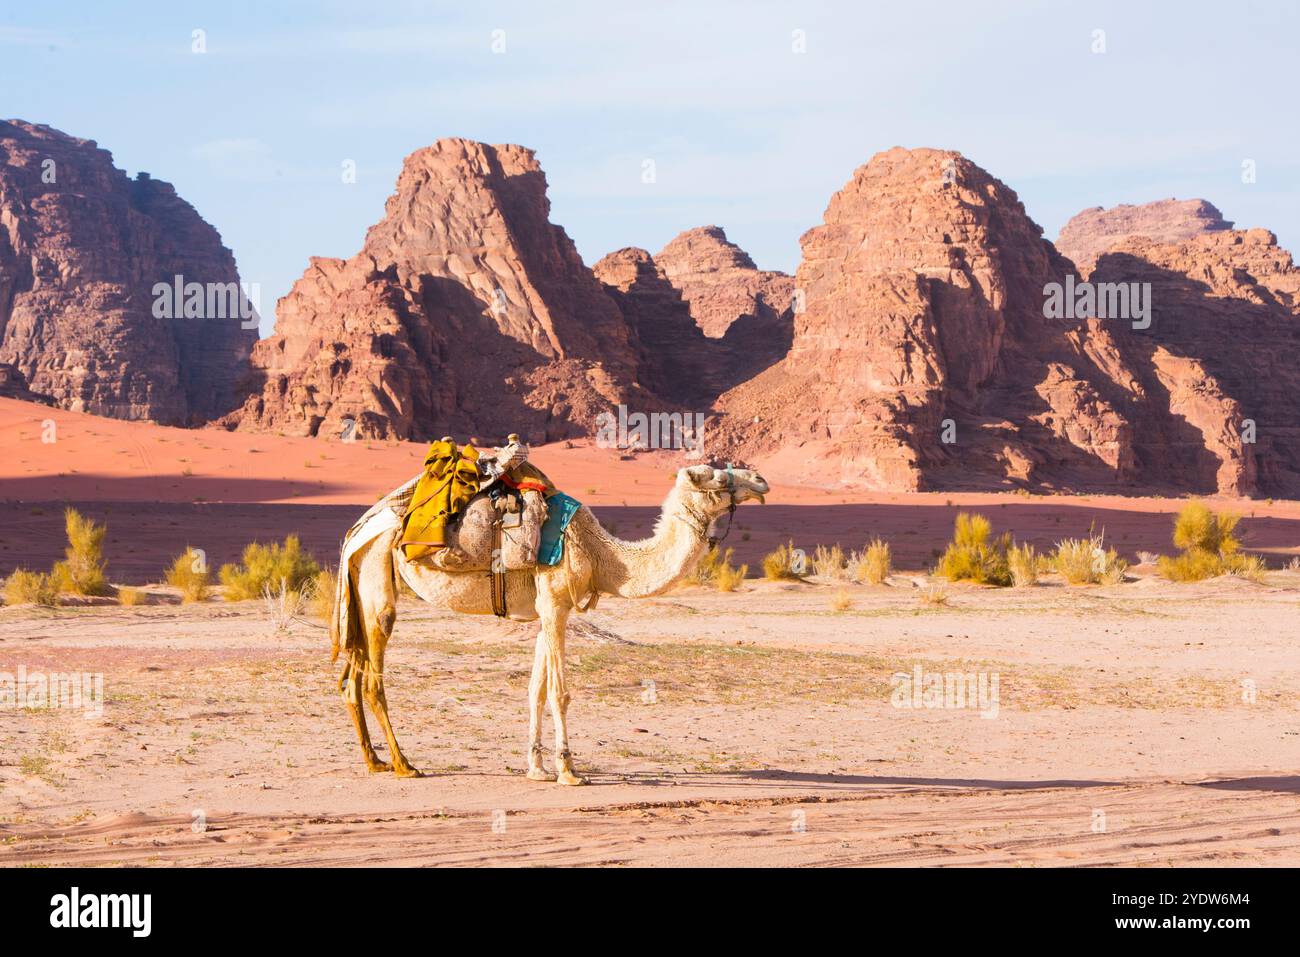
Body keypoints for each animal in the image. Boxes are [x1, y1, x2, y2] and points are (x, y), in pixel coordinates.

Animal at [330, 463, 768, 785]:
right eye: (715, 476)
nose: (760, 480)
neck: (602, 554)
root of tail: (358, 528)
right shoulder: (556, 600)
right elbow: (560, 693)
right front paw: (568, 770)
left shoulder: (546, 610)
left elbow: (535, 691)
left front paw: (537, 768)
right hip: (377, 568)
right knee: (373, 669)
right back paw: (404, 765)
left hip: (360, 580)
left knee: (351, 675)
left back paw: (375, 761)